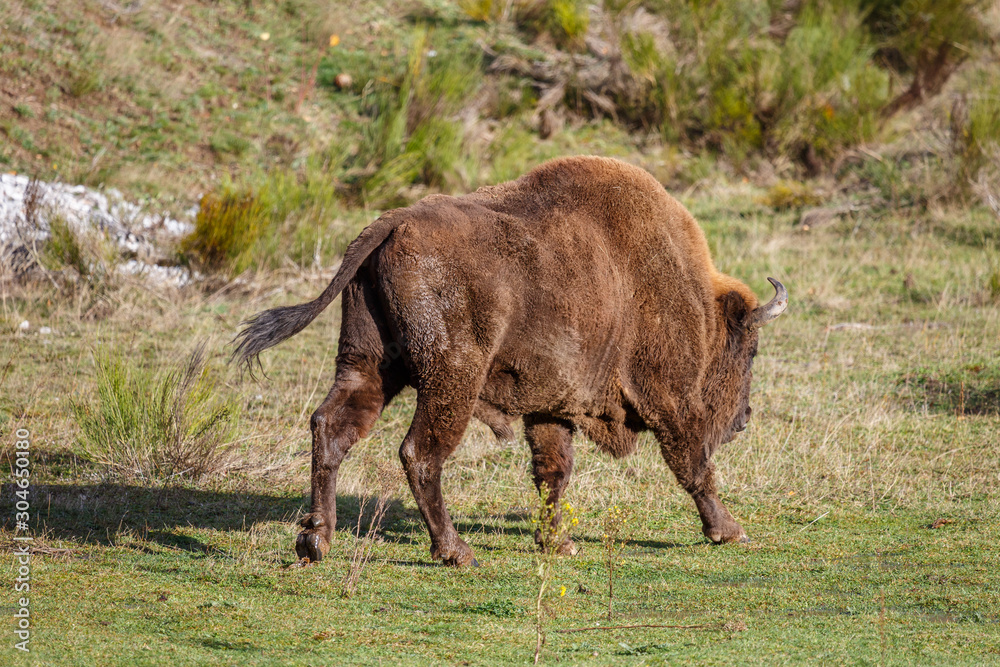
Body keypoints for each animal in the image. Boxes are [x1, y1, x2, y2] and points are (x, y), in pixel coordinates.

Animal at [234, 156, 787, 566]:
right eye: (750, 350)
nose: (743, 418)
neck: (692, 298)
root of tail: (393, 223)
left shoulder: (551, 409)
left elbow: (552, 473)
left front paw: (558, 543)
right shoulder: (670, 401)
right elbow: (693, 466)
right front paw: (729, 530)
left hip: (367, 364)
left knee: (331, 427)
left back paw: (314, 541)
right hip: (451, 378)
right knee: (420, 453)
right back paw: (456, 552)